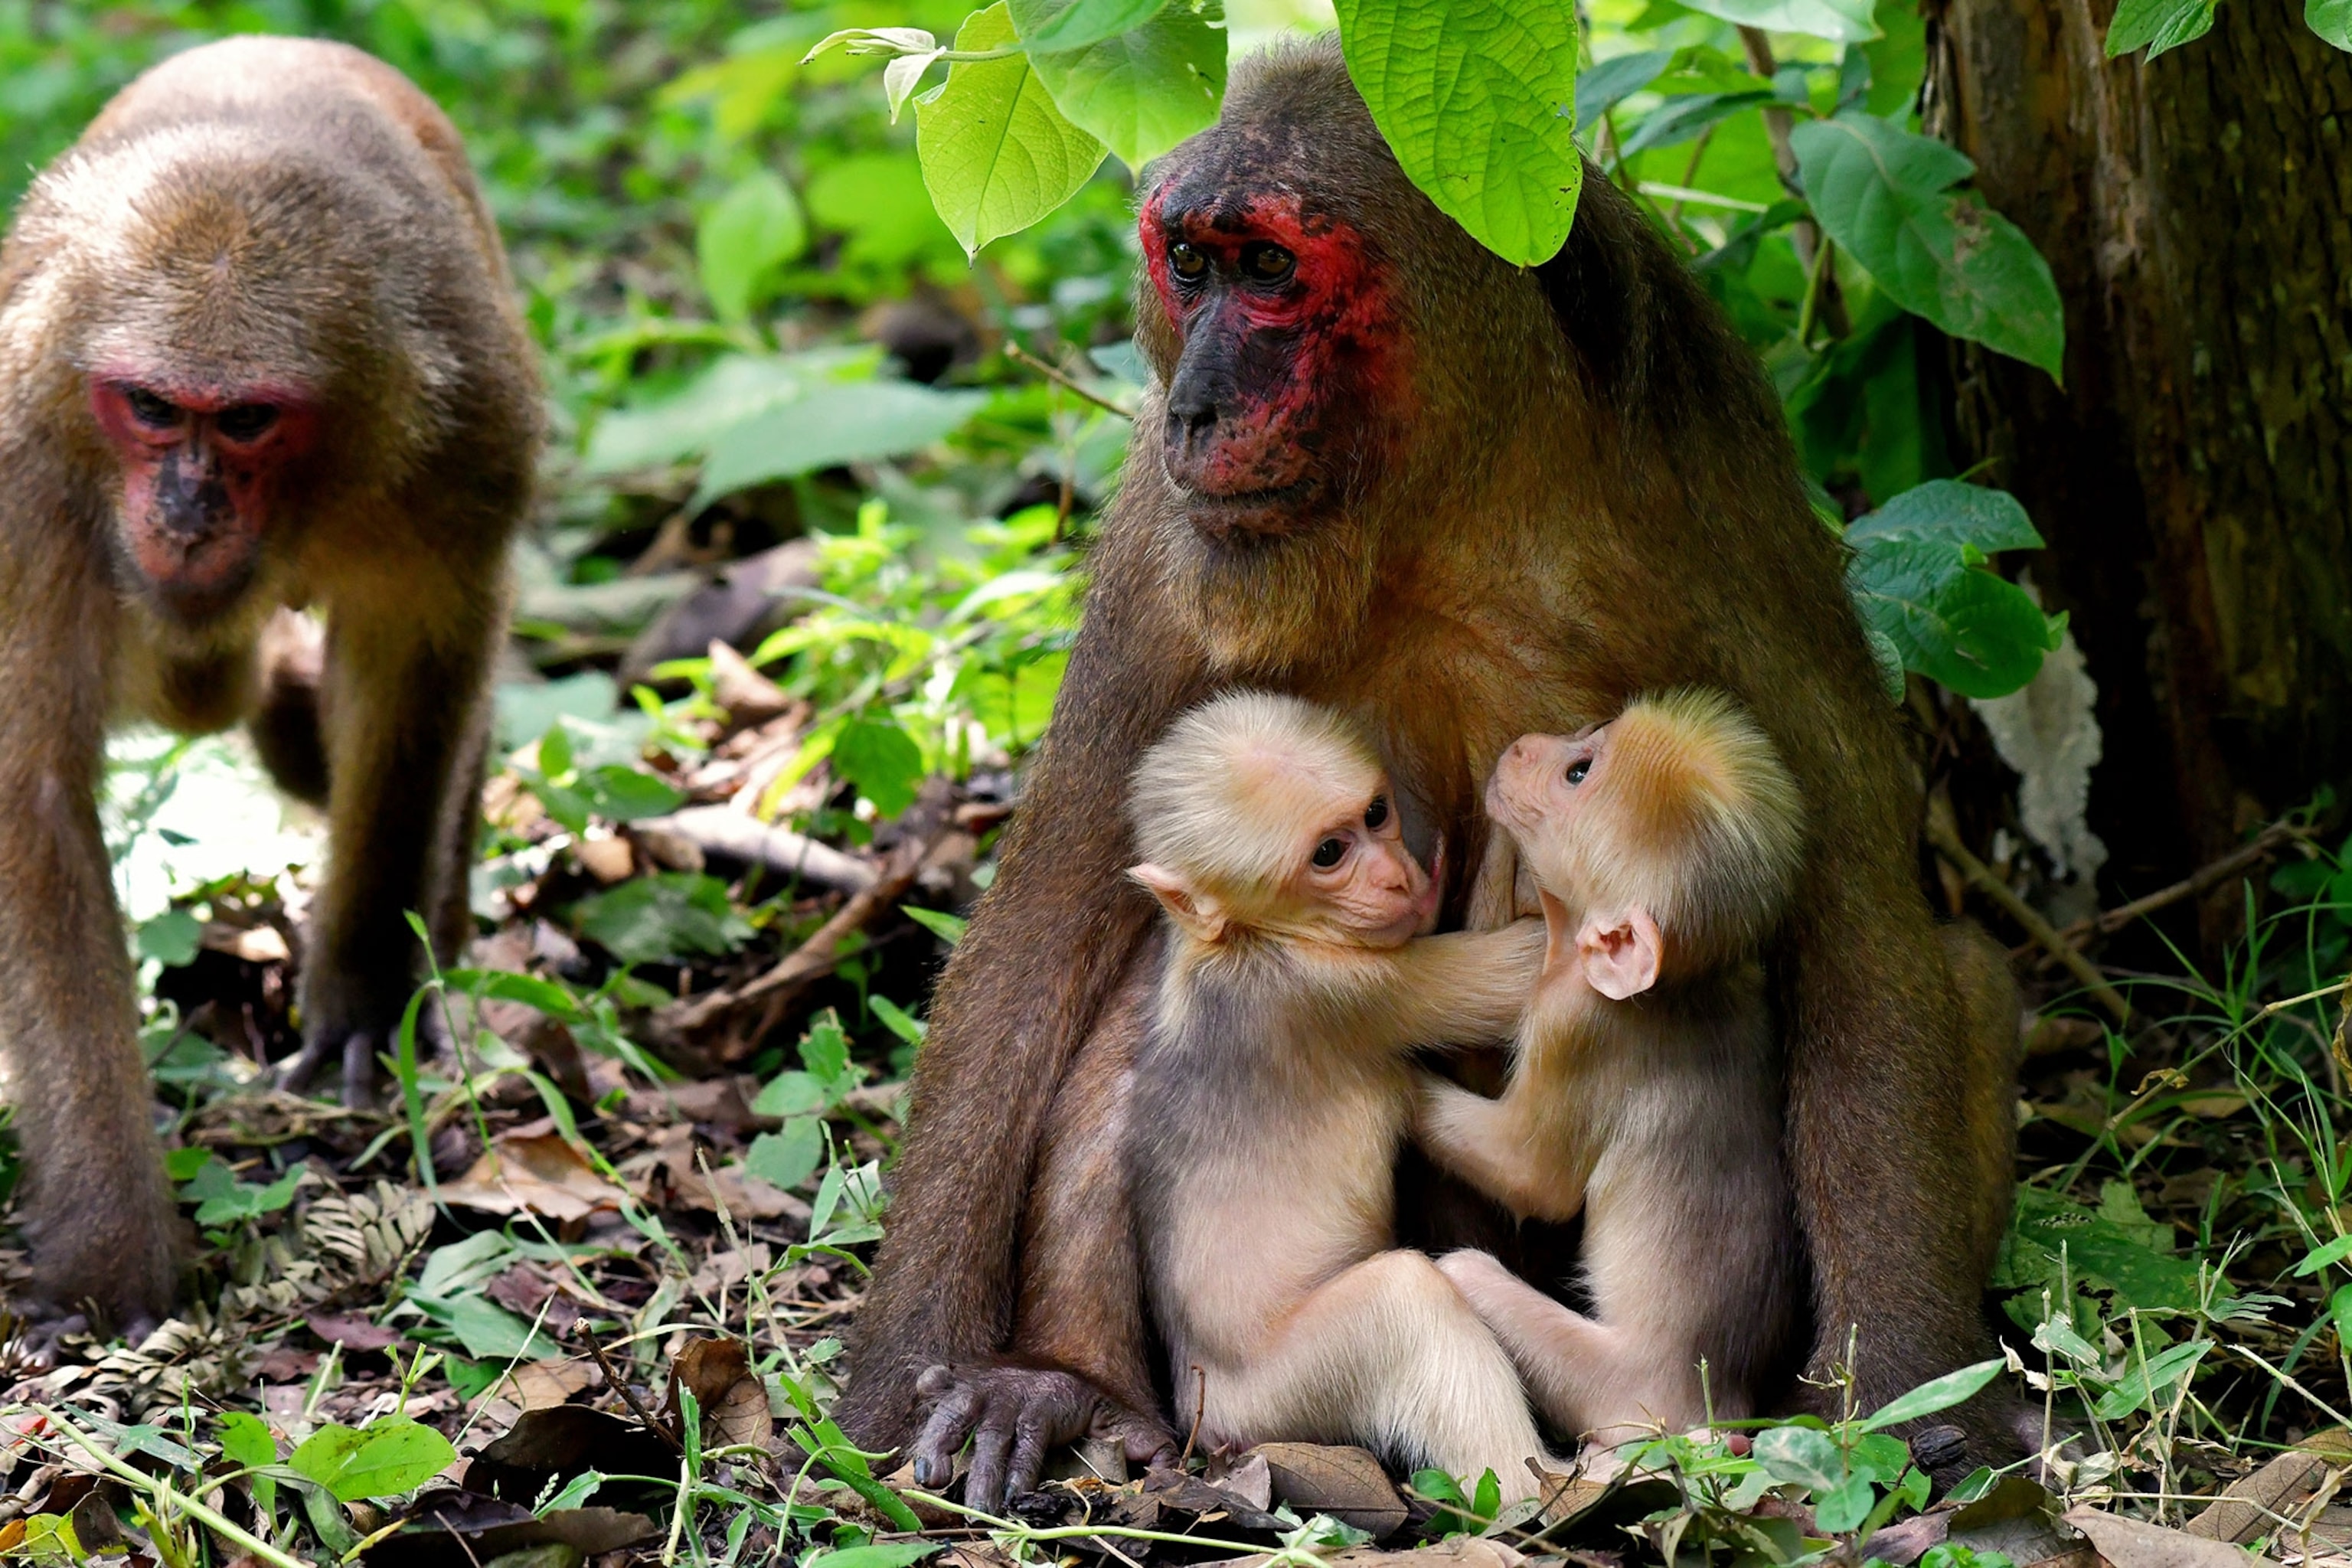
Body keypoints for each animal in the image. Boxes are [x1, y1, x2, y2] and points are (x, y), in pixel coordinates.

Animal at [0, 36, 538, 1331]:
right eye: (151, 408)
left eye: (246, 420)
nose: (187, 513)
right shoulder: (25, 470)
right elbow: (32, 795)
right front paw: (110, 1256)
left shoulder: (456, 436)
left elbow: (418, 670)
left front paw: (363, 996)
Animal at [1093, 691, 1553, 1501]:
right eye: (1329, 855)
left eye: (1375, 814)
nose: (1396, 878)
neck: (1243, 939)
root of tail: (1202, 1423)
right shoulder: (1337, 990)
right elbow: (1529, 964)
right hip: (1282, 1395)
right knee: (1405, 1301)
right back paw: (1550, 1492)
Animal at [1410, 691, 1807, 1453]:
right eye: (1588, 736)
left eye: (1579, 773)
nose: (1522, 745)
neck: (1681, 986)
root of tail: (1719, 1409)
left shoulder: (1573, 1022)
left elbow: (1535, 1178)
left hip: (1619, 1390)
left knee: (1467, 1270)